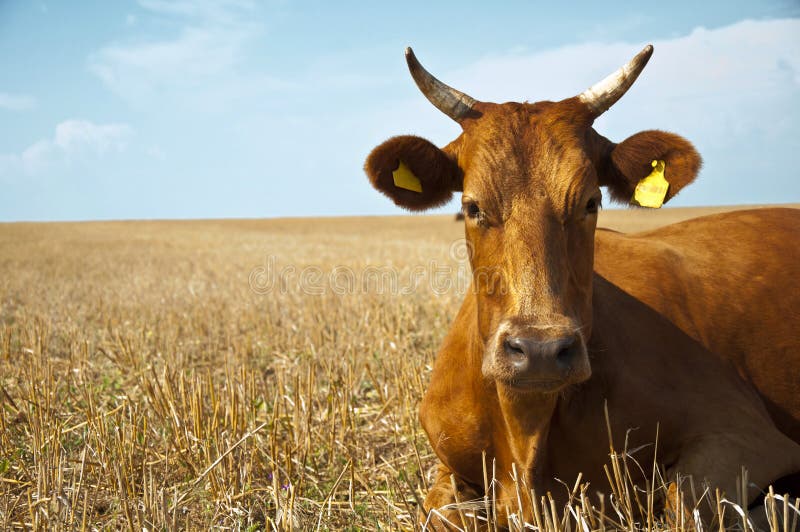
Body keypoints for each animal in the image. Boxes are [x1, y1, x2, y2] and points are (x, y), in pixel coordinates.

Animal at [363, 44, 800, 528]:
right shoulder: (448, 465)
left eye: (591, 201)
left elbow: (685, 507)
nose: (540, 350)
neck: (527, 432)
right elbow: (441, 513)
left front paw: (779, 505)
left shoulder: (748, 434)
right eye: (472, 206)